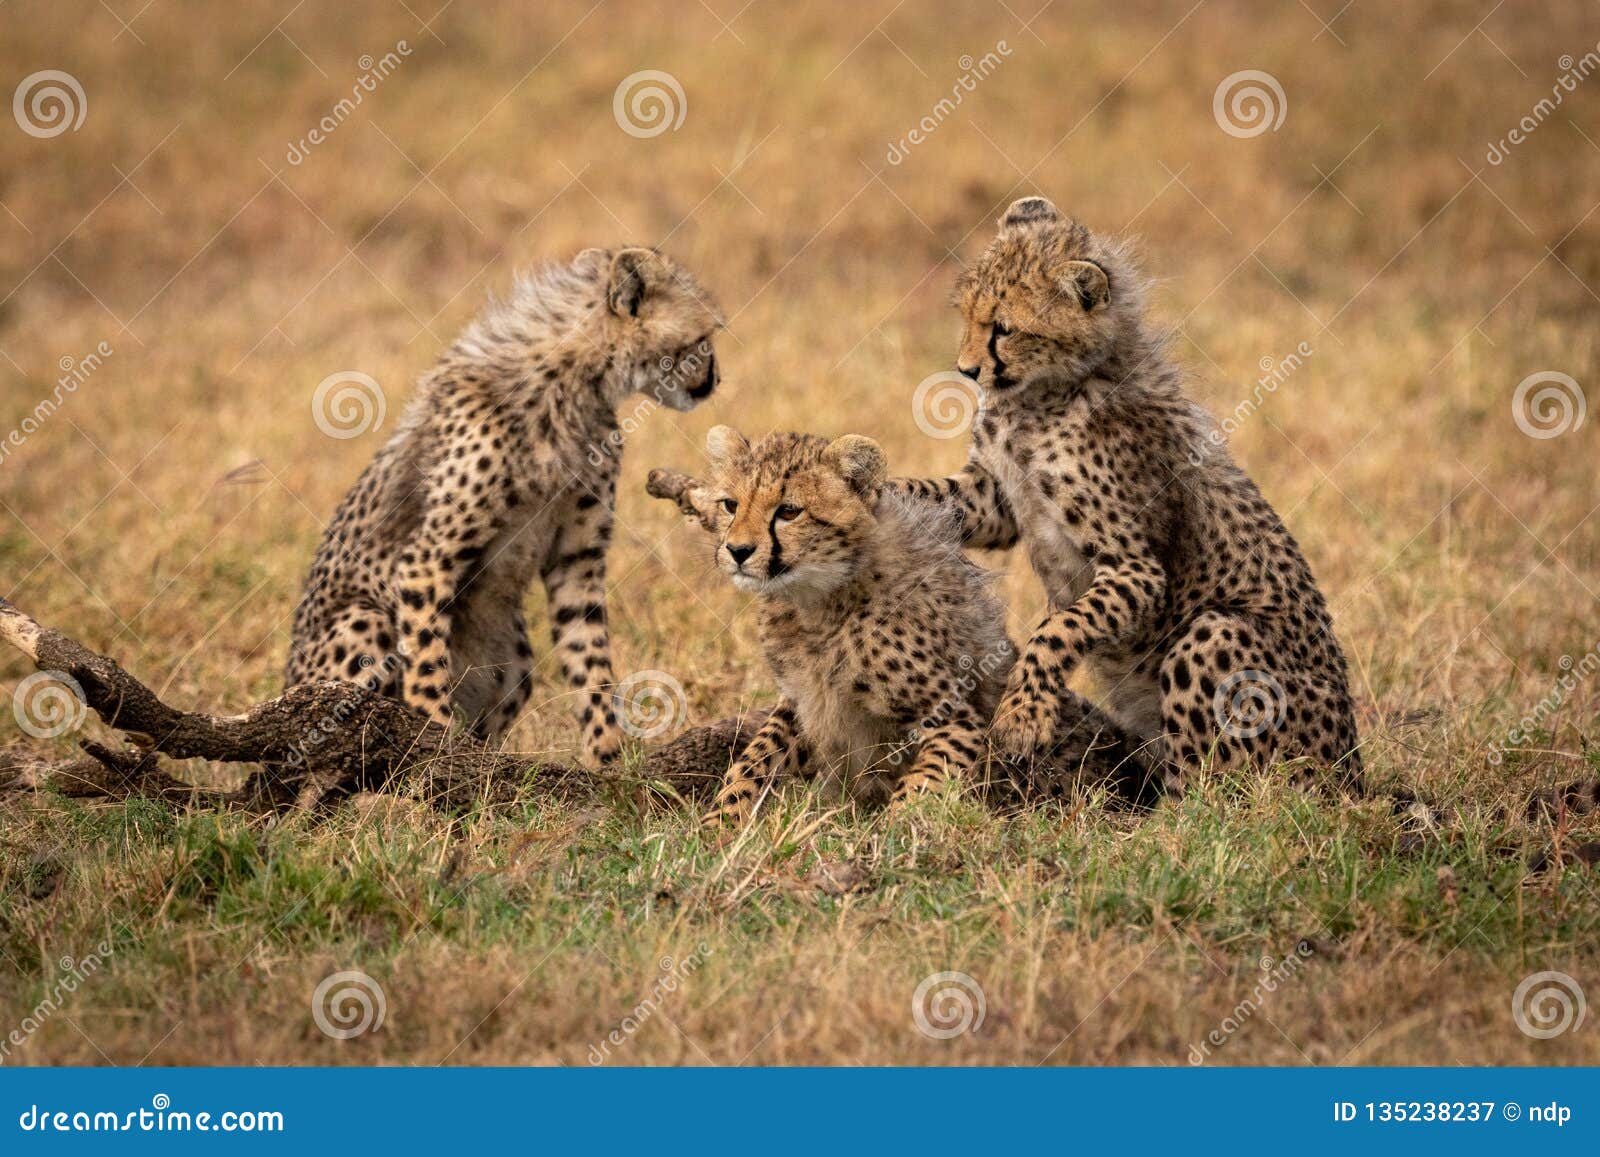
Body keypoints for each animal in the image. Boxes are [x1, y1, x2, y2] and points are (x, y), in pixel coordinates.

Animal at [285, 246, 722, 768]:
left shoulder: (576, 559)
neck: (575, 383)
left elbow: (592, 662)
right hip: (361, 624)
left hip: (513, 660)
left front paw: (608, 764)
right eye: (703, 338)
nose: (716, 380)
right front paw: (438, 756)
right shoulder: (426, 560)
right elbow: (426, 667)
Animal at [647, 426, 1151, 828]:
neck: (817, 601)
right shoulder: (803, 701)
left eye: (789, 511)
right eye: (731, 505)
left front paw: (885, 843)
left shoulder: (956, 715)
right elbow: (753, 760)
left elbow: (921, 785)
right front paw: (719, 824)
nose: (737, 550)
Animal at [891, 196, 1363, 792]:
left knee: (1215, 787)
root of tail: (1351, 769)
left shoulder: (1136, 570)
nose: (967, 370)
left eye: (1004, 328)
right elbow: (931, 494)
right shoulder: (993, 500)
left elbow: (1059, 628)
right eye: (968, 315)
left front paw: (1022, 715)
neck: (1045, 394)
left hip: (1215, 634)